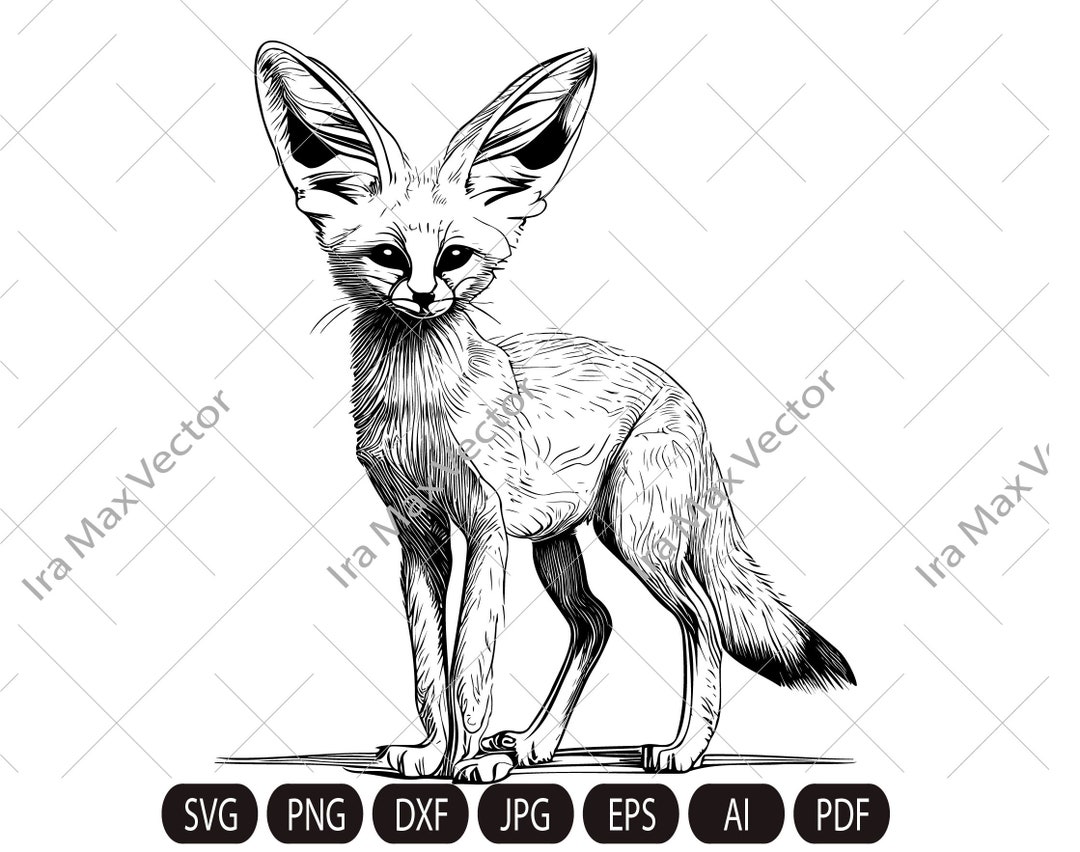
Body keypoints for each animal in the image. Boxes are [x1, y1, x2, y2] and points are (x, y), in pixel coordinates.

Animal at [255, 42, 855, 783]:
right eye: (388, 257)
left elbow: (470, 662)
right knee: (596, 620)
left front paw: (467, 760)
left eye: (455, 257)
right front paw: (430, 752)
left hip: (636, 536)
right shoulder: (418, 536)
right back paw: (537, 742)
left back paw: (685, 748)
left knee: (703, 620)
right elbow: (428, 663)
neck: (420, 407)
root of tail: (681, 393)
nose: (423, 297)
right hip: (558, 542)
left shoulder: (485, 530)